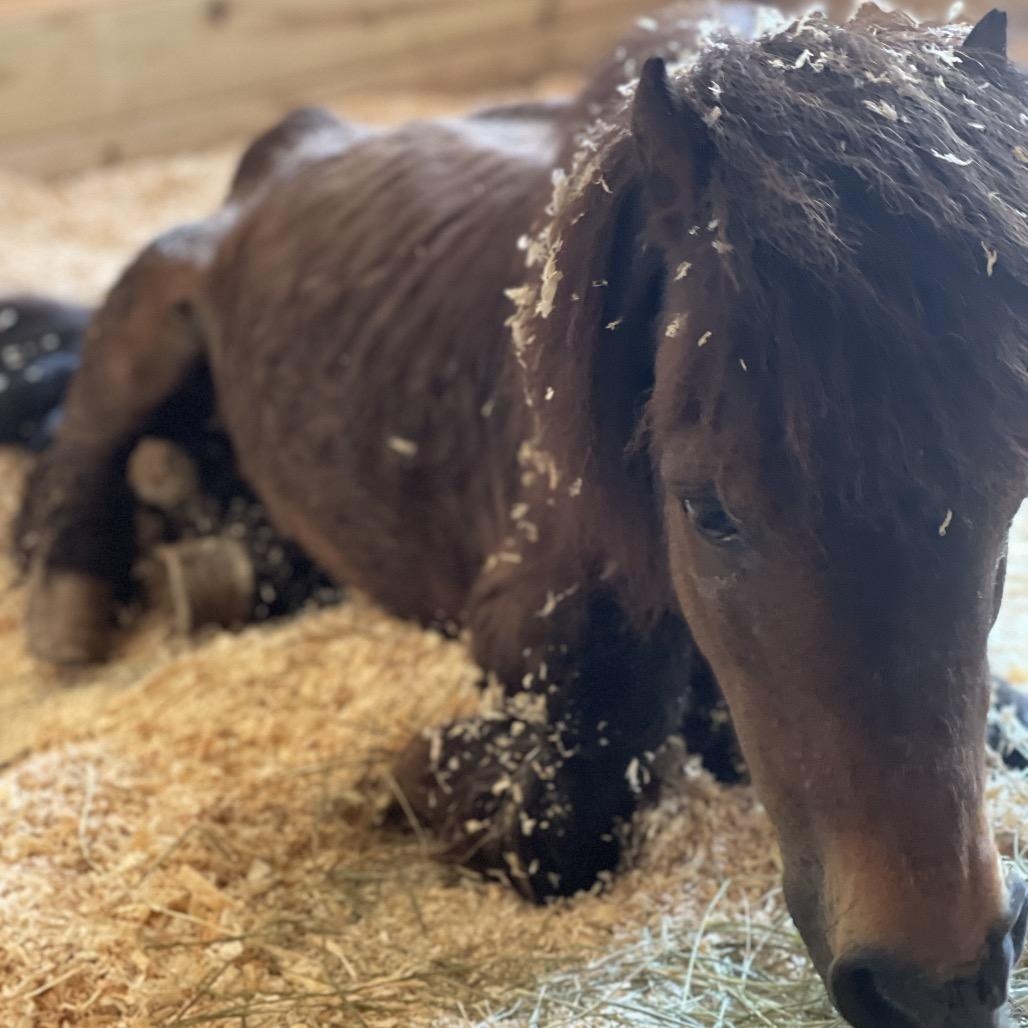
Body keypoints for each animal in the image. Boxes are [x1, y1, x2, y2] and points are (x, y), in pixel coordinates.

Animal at [8, 4, 1028, 1024]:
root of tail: (285, 148)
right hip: (153, 310)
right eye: (706, 509)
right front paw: (416, 773)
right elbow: (563, 813)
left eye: (1008, 494)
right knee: (85, 430)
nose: (932, 985)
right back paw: (75, 591)